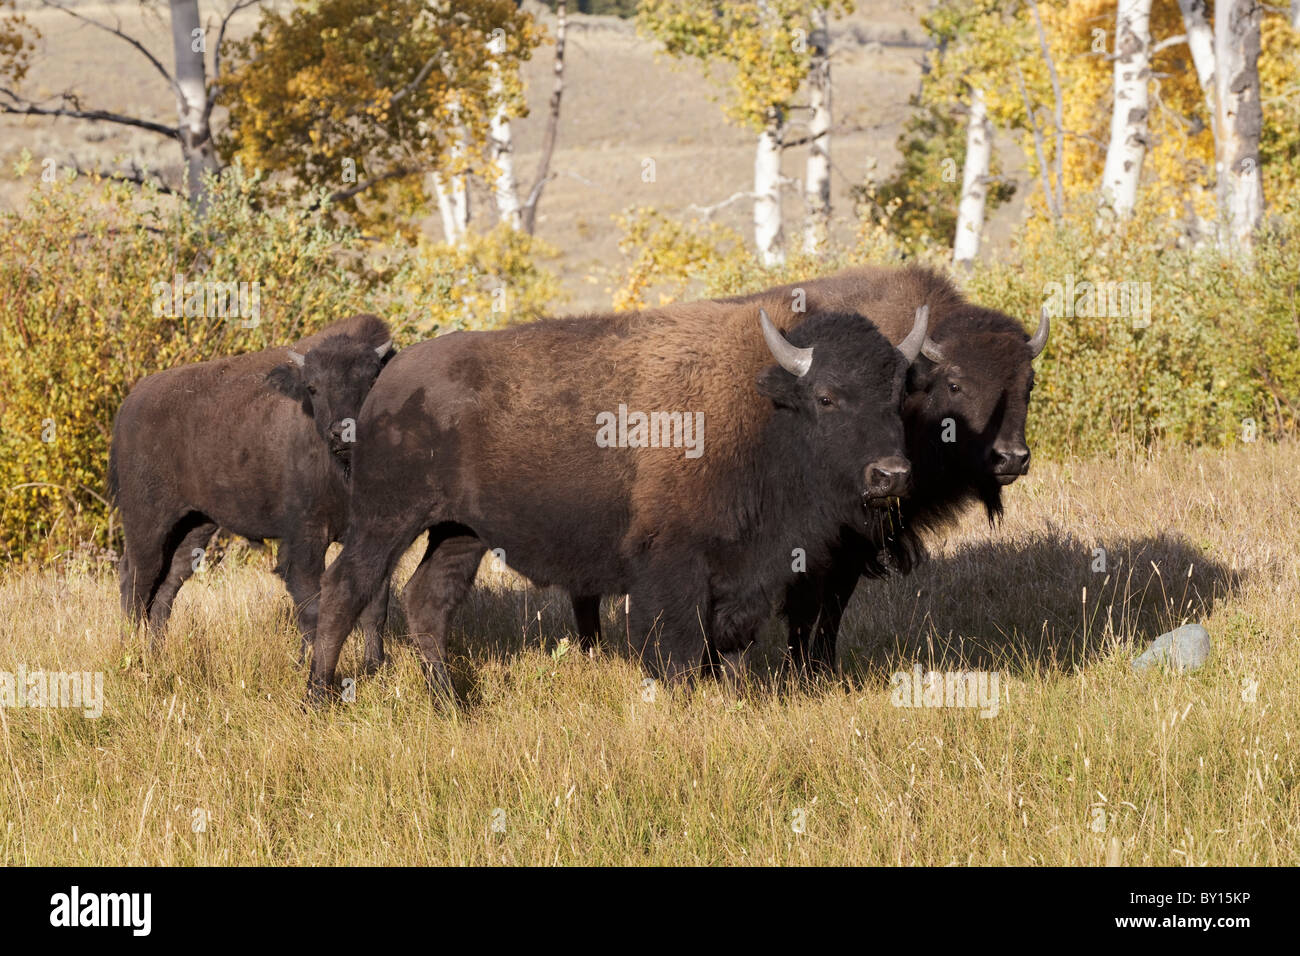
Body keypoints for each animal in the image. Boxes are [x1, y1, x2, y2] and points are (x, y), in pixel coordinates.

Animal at [109, 313, 395, 667]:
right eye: (313, 387)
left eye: (370, 382)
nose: (342, 433)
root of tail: (130, 403)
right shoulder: (305, 538)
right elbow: (311, 605)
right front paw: (307, 663)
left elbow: (375, 606)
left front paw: (374, 666)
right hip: (147, 522)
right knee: (136, 579)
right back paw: (129, 655)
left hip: (194, 526)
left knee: (166, 586)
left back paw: (156, 654)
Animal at [304, 301, 930, 701]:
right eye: (826, 397)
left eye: (897, 396)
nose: (892, 474)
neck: (761, 410)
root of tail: (387, 384)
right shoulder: (674, 571)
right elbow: (680, 653)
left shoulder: (744, 580)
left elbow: (730, 653)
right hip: (385, 519)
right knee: (345, 588)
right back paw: (320, 697)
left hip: (460, 532)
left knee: (428, 602)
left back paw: (453, 704)